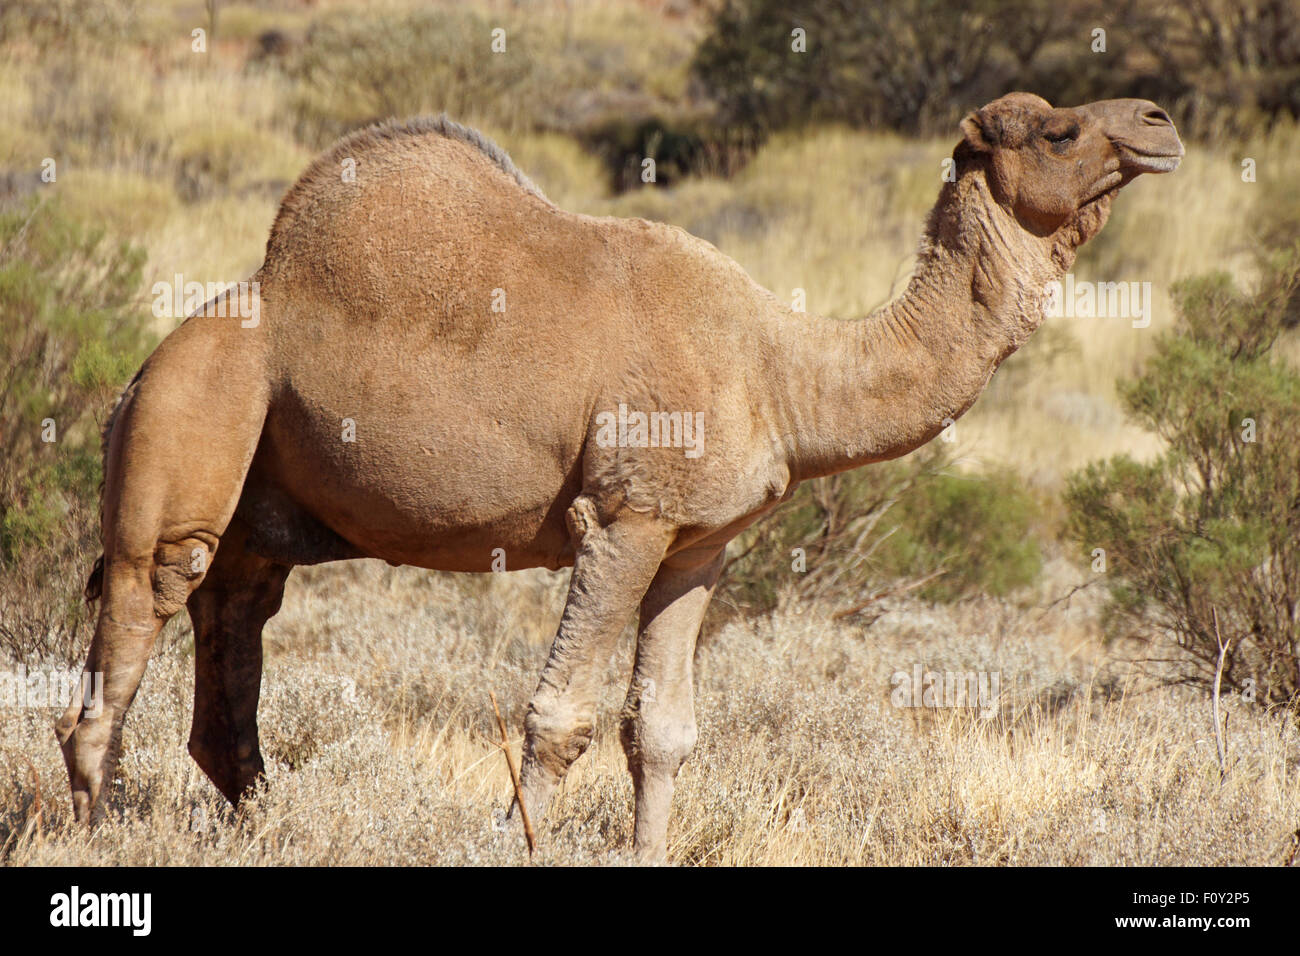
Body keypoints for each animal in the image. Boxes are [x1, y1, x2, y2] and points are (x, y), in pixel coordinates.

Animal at [55, 93, 1182, 861]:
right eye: (1056, 133)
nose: (1159, 122)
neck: (780, 369)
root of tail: (146, 362)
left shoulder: (700, 544)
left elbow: (662, 730)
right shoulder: (624, 518)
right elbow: (560, 719)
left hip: (263, 505)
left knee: (232, 642)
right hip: (191, 417)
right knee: (135, 621)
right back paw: (97, 831)